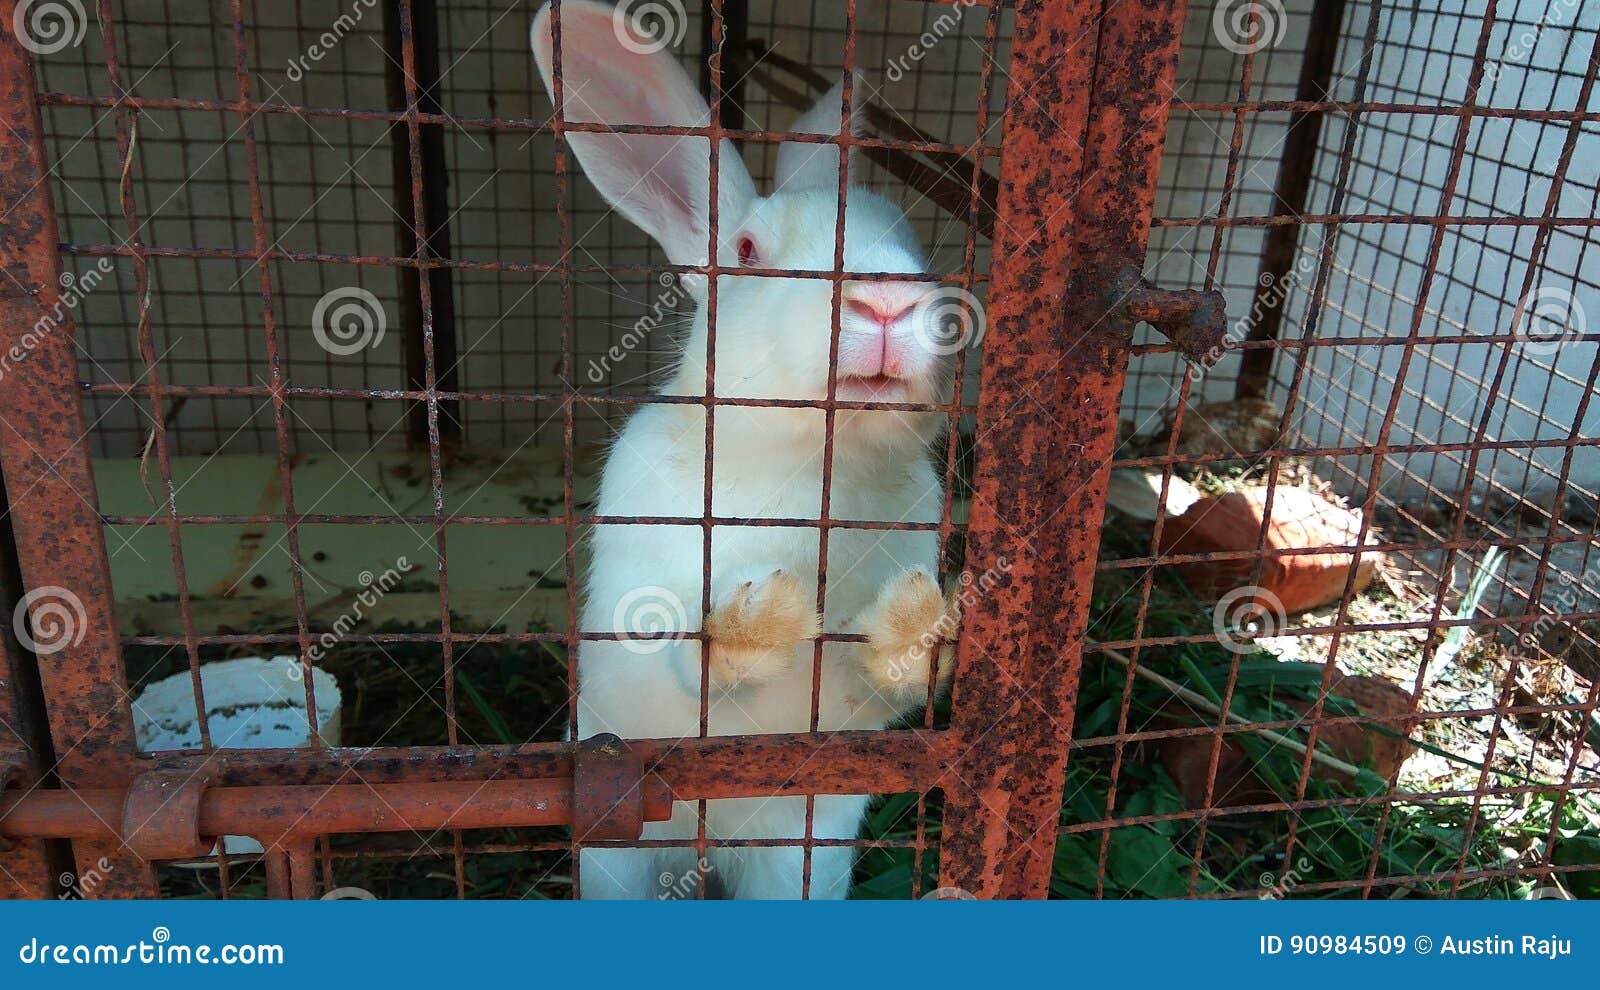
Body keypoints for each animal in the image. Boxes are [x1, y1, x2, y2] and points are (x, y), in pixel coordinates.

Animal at [531, 0, 961, 899]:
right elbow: (685, 659)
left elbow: (883, 683)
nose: (887, 301)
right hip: (617, 858)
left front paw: (916, 620)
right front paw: (762, 617)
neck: (810, 464)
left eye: (915, 248)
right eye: (749, 253)